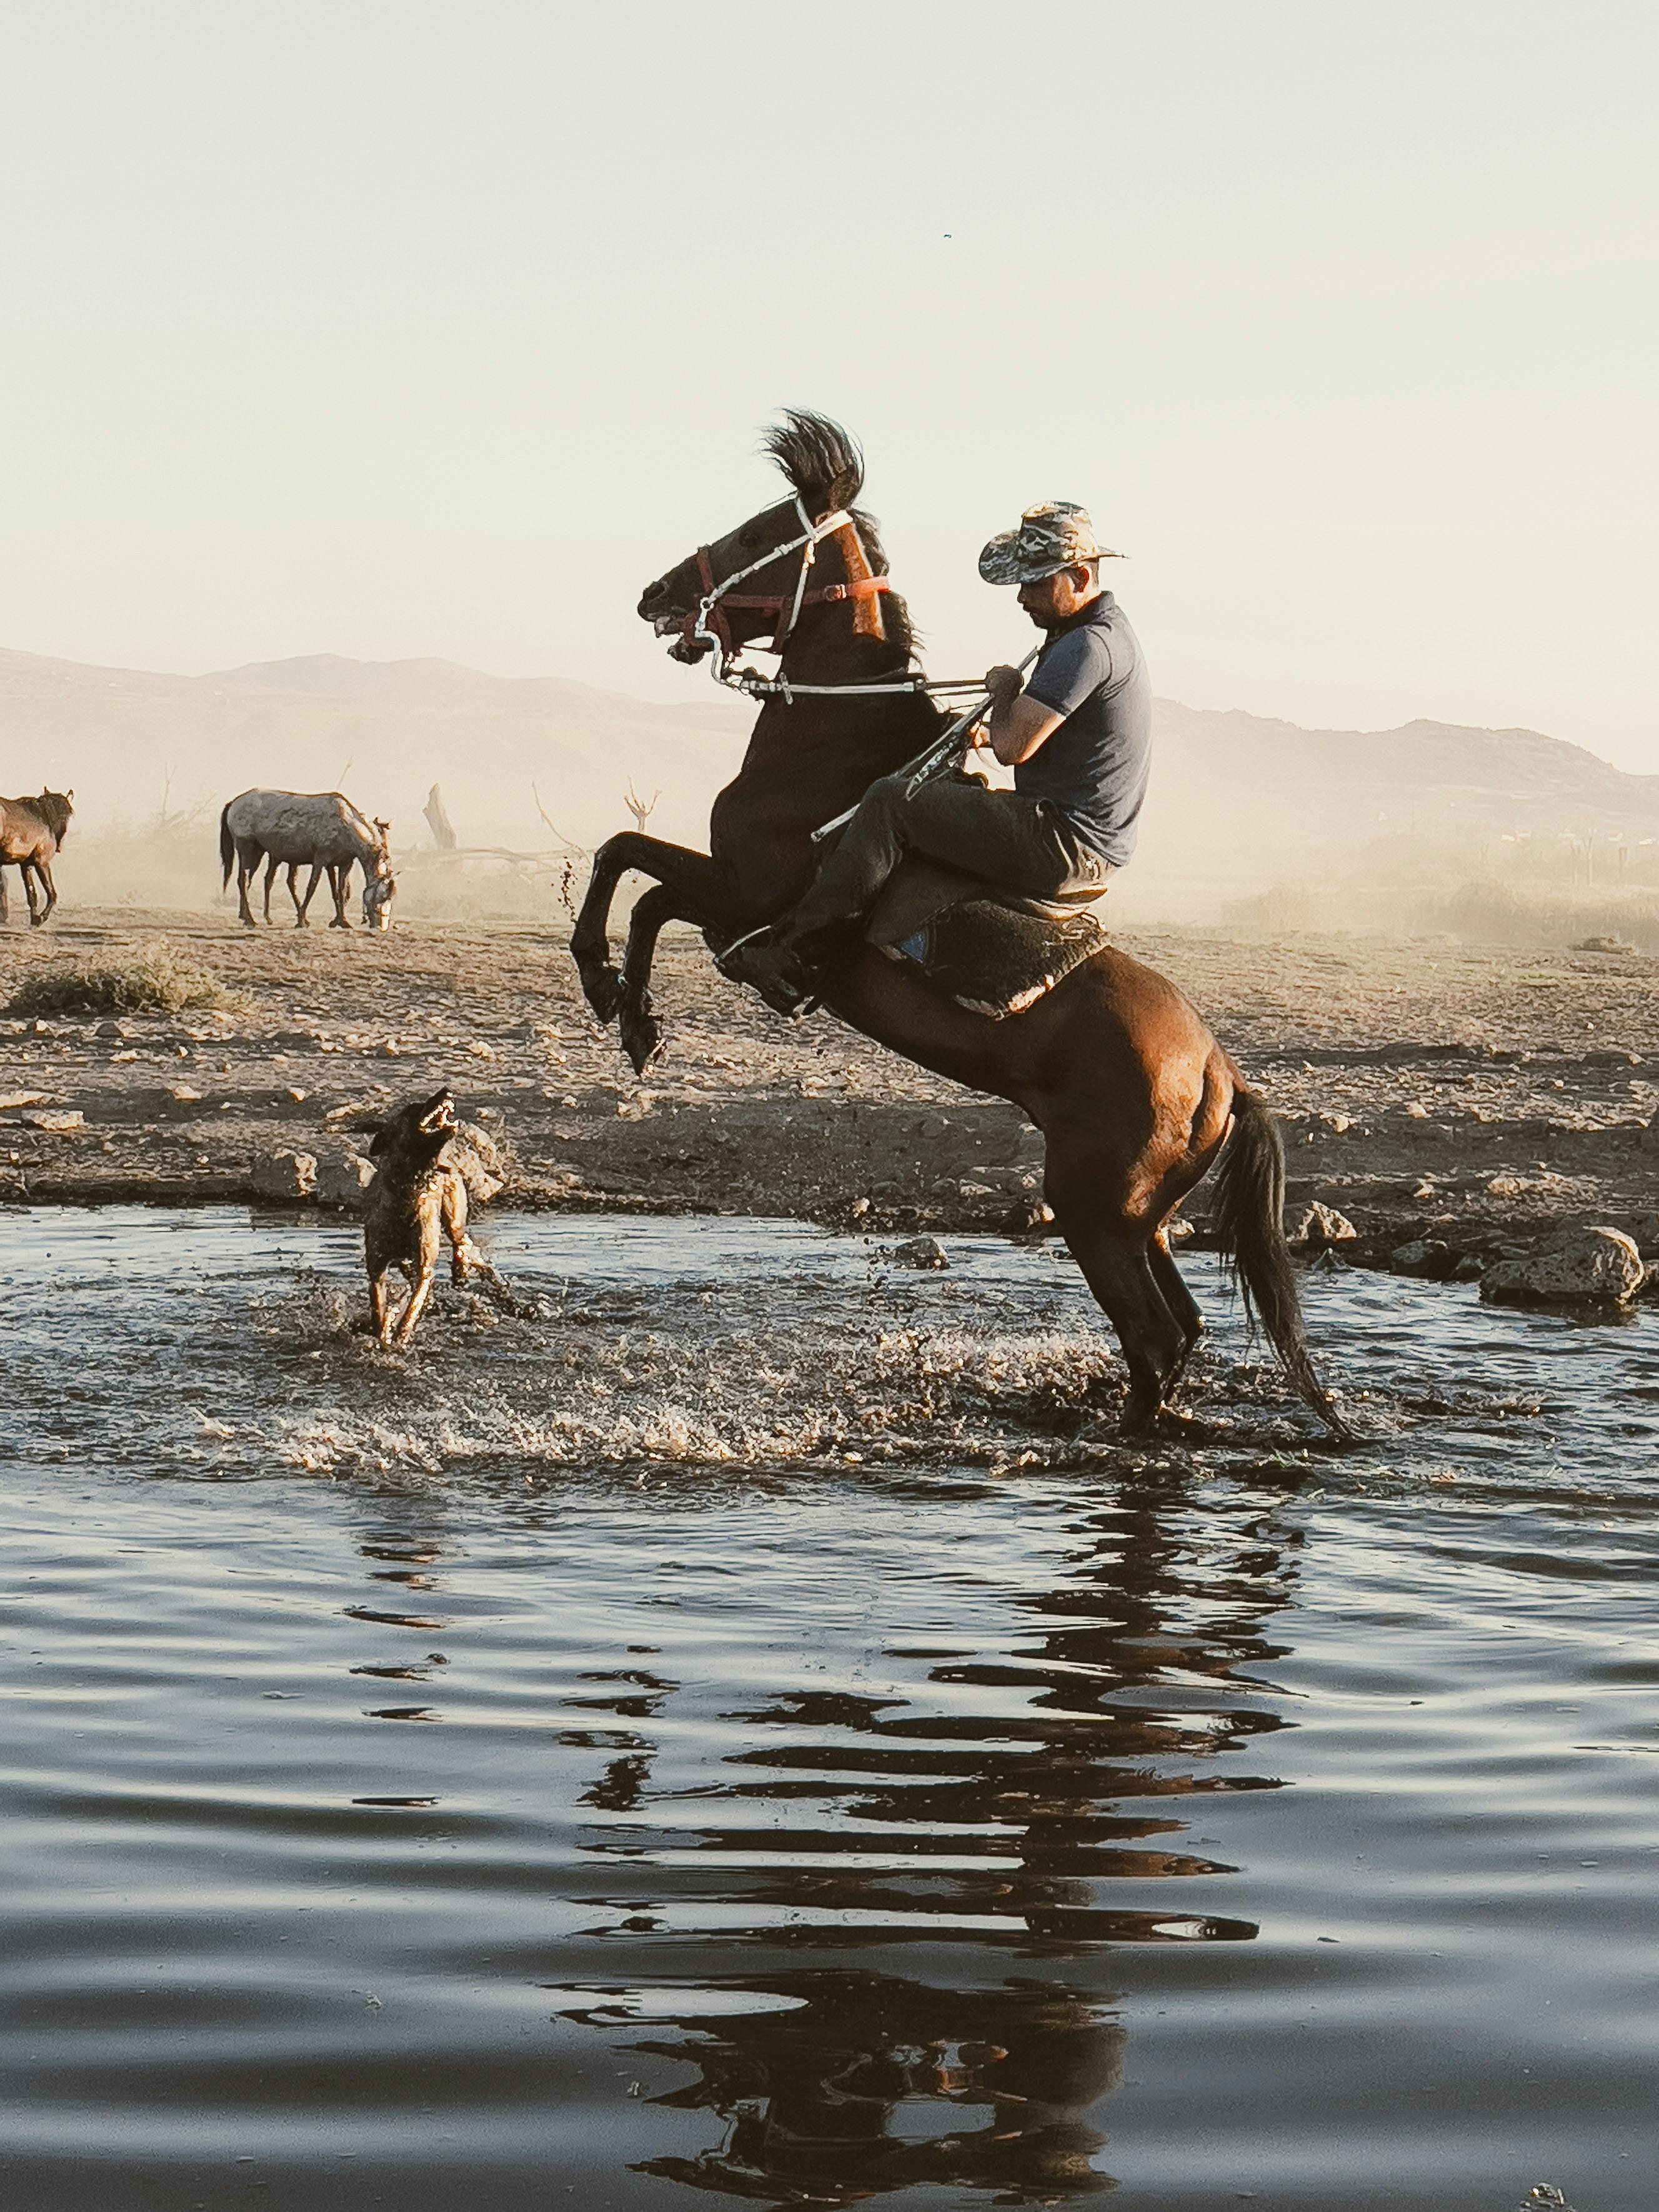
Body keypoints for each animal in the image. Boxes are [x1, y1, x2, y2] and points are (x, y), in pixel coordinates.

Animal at [0, 789, 74, 927]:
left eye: (69, 815)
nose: (59, 847)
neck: (44, 817)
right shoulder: (42, 862)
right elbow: (52, 893)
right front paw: (41, 918)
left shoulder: (25, 864)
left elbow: (31, 893)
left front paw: (34, 918)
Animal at [219, 790, 397, 931]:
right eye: (382, 897)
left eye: (391, 898)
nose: (381, 926)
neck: (345, 822)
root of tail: (233, 803)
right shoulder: (321, 860)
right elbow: (312, 887)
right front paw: (302, 920)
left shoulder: (343, 864)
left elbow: (340, 891)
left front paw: (341, 921)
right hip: (247, 849)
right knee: (243, 880)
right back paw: (250, 920)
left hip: (259, 852)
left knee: (249, 881)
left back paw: (247, 917)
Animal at [571, 411, 1346, 1438]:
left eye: (753, 533)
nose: (656, 597)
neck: (829, 740)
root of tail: (1221, 1075)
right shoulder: (730, 894)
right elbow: (630, 869)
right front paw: (629, 1011)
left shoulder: (745, 896)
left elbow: (634, 870)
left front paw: (619, 999)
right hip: (1140, 1221)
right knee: (1177, 1333)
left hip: (1096, 1211)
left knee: (1151, 1335)